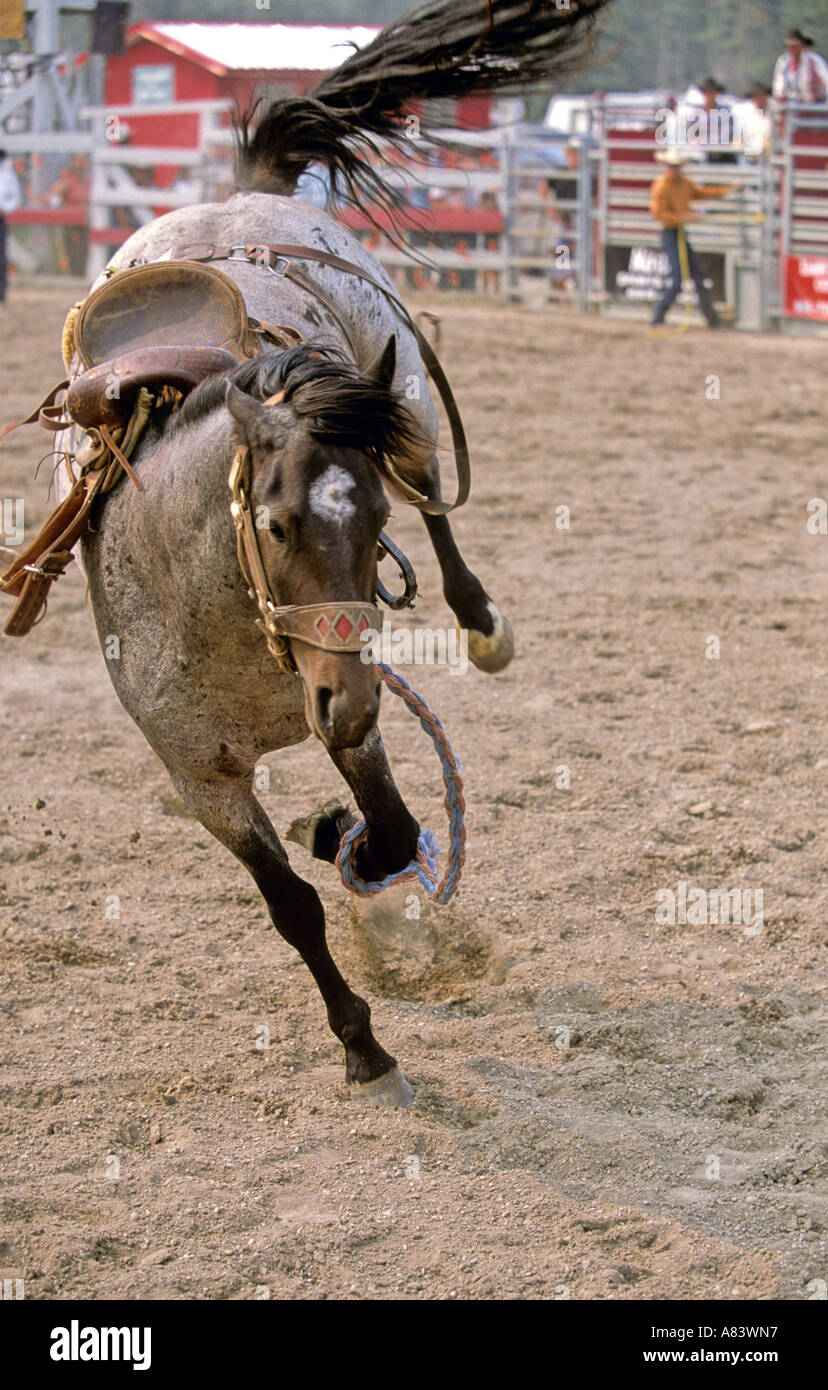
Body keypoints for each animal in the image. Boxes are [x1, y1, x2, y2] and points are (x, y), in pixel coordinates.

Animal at [39, 1, 611, 1106]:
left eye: (366, 514)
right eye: (271, 526)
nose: (340, 701)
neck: (223, 621)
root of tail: (244, 191)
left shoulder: (349, 695)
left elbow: (386, 830)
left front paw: (339, 836)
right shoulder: (202, 775)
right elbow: (291, 903)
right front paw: (362, 1044)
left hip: (408, 392)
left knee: (441, 504)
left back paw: (483, 623)